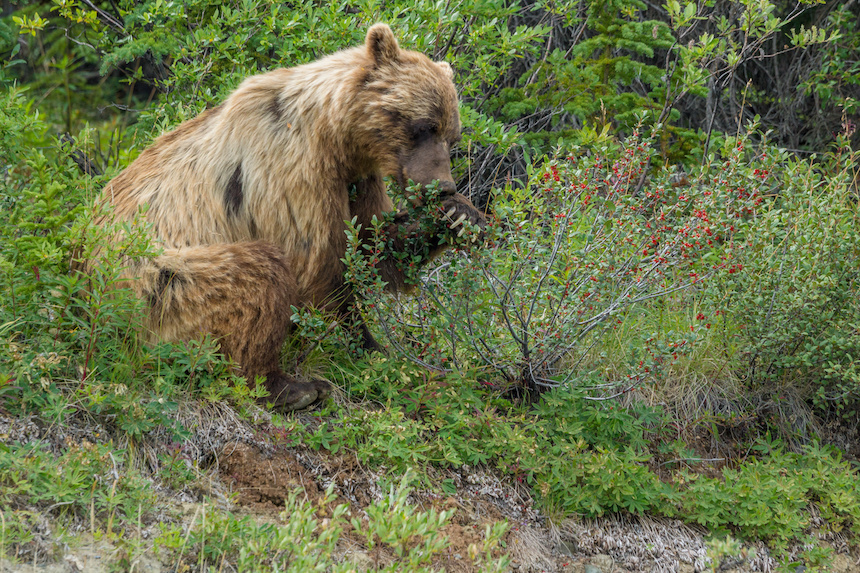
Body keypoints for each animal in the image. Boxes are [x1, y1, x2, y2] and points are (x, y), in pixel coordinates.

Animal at [92, 23, 486, 411]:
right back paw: (290, 387)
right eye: (422, 125)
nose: (443, 186)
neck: (337, 136)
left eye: (452, 134)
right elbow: (319, 264)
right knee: (258, 272)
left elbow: (373, 244)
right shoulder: (292, 169)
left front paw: (460, 215)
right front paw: (370, 348)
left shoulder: (357, 178)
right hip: (163, 283)